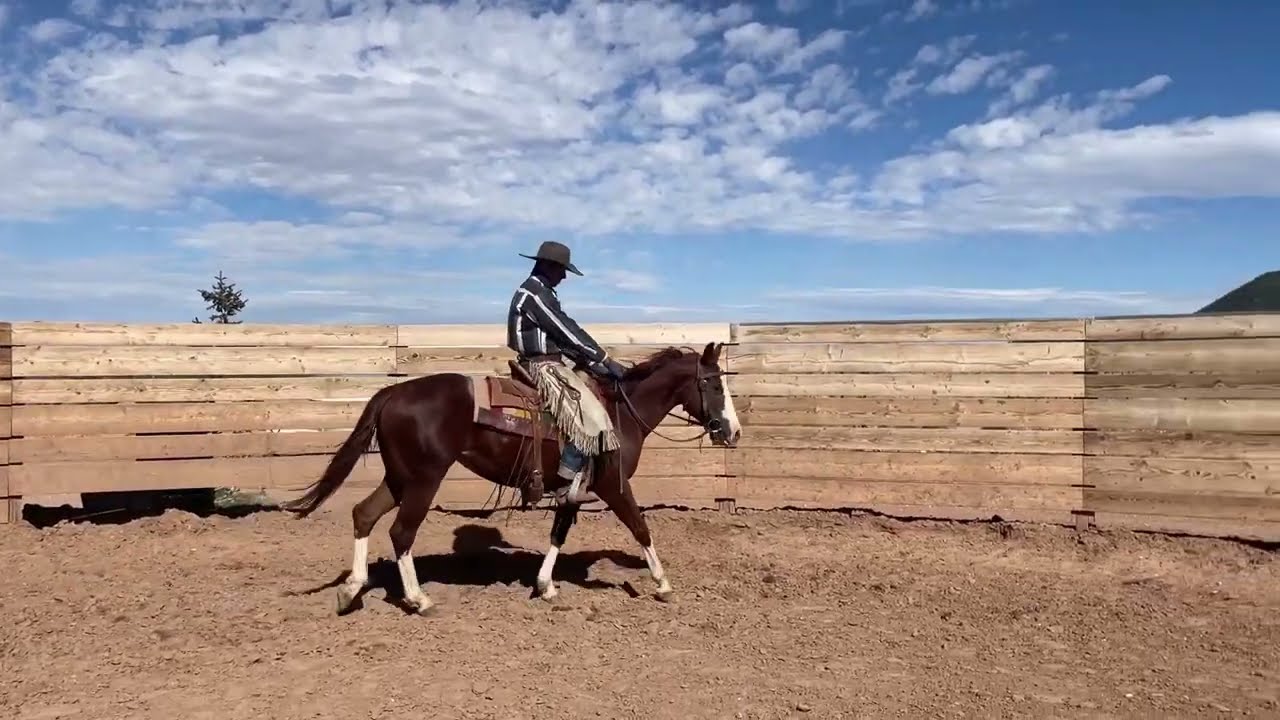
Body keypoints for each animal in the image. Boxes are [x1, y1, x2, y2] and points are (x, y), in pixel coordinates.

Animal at [280, 341, 743, 615]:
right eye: (713, 385)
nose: (733, 432)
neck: (617, 413)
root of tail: (392, 392)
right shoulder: (613, 486)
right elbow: (640, 526)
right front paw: (663, 584)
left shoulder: (573, 492)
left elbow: (558, 534)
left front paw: (546, 586)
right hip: (424, 478)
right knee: (401, 531)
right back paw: (418, 598)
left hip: (399, 476)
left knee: (364, 514)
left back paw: (351, 589)